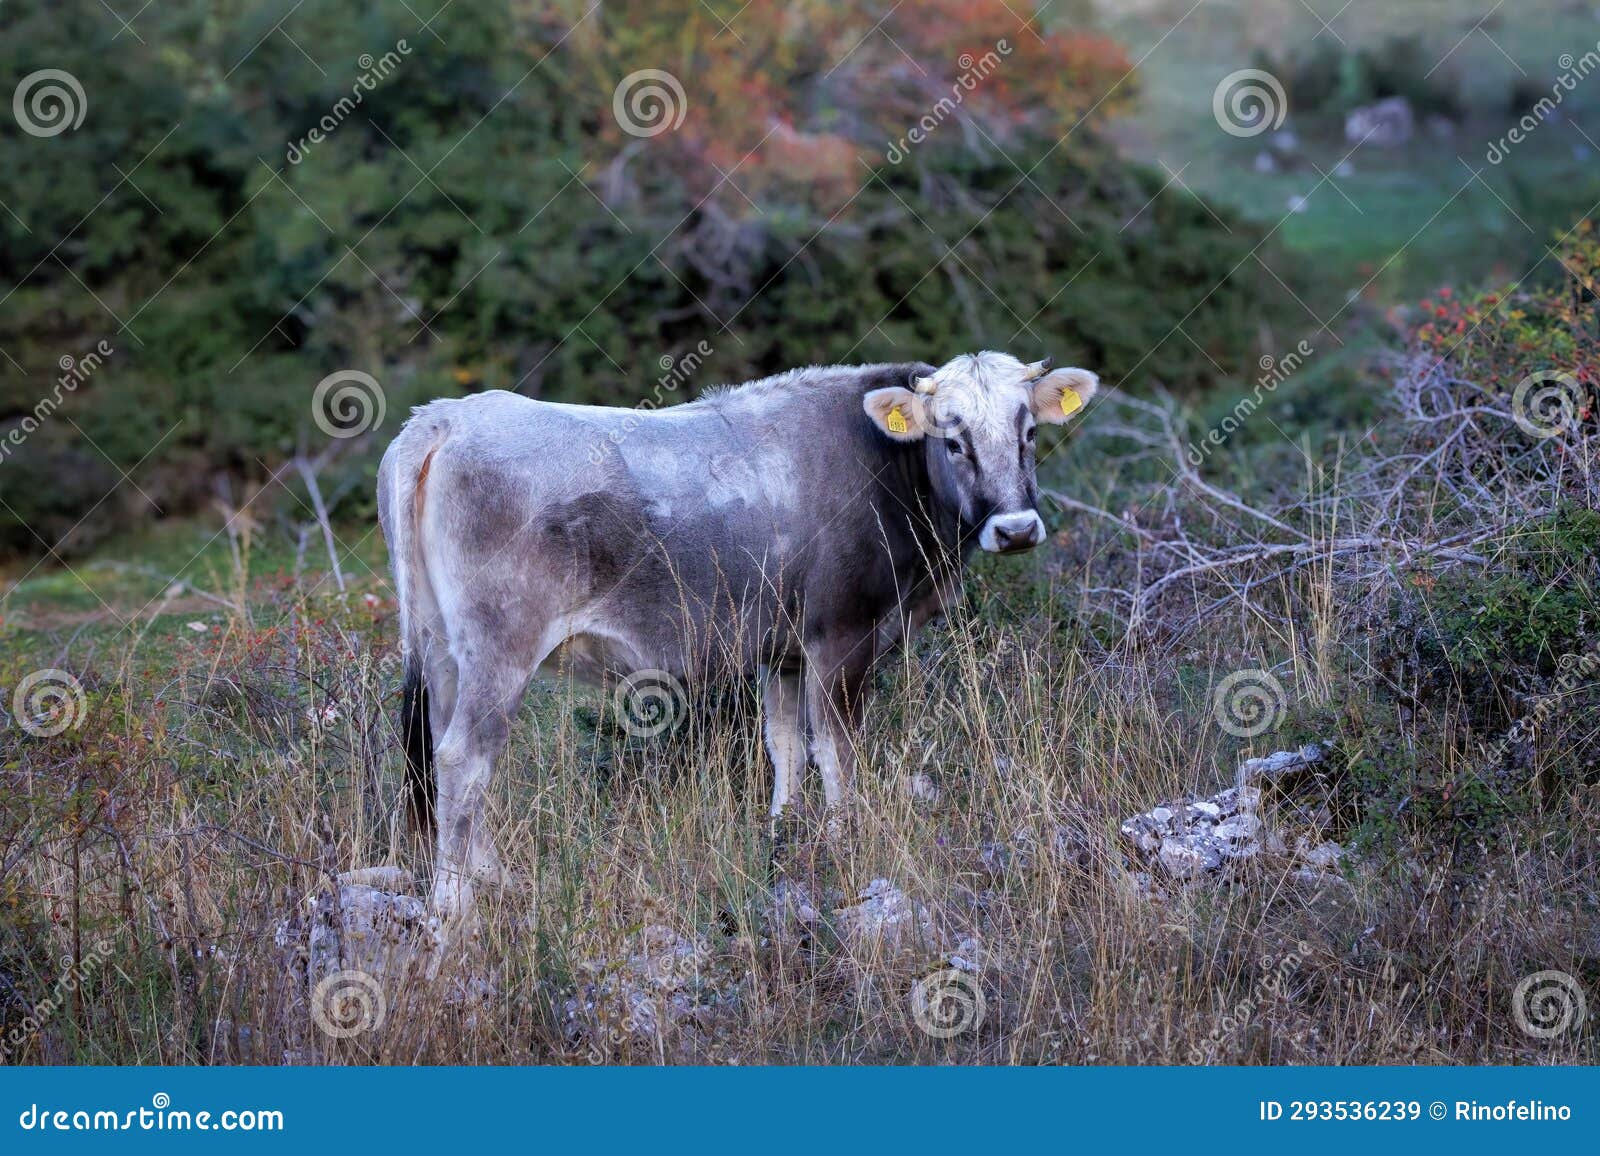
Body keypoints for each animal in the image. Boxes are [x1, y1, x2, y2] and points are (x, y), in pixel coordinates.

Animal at [377, 351, 1098, 920]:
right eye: (953, 440)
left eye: (1028, 432)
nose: (1016, 529)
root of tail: (447, 416)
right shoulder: (843, 636)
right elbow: (835, 749)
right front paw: (846, 845)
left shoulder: (782, 651)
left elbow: (785, 745)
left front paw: (784, 838)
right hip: (501, 647)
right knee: (465, 758)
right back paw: (456, 906)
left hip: (444, 650)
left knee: (446, 749)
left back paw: (492, 877)